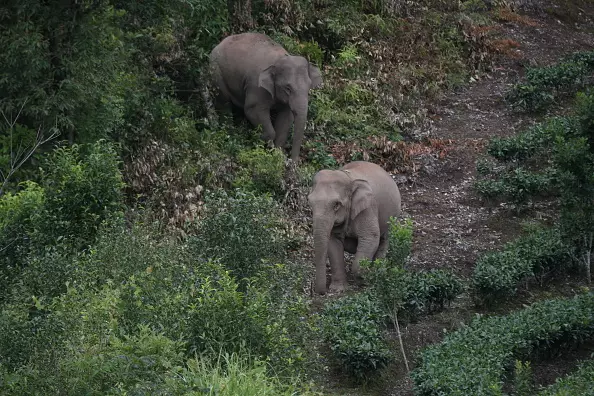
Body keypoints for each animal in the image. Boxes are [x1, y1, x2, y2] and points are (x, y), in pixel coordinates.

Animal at [209, 32, 322, 162]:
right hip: (216, 73)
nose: (293, 162)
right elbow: (252, 109)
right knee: (224, 104)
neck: (278, 60)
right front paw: (264, 142)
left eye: (309, 86)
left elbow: (286, 117)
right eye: (288, 88)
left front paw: (277, 155)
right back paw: (229, 133)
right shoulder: (256, 87)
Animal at [308, 161, 400, 294]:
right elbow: (333, 243)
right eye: (309, 202)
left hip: (393, 217)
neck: (348, 178)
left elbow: (370, 238)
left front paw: (365, 280)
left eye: (336, 205)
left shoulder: (368, 208)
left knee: (384, 239)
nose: (320, 292)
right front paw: (338, 289)